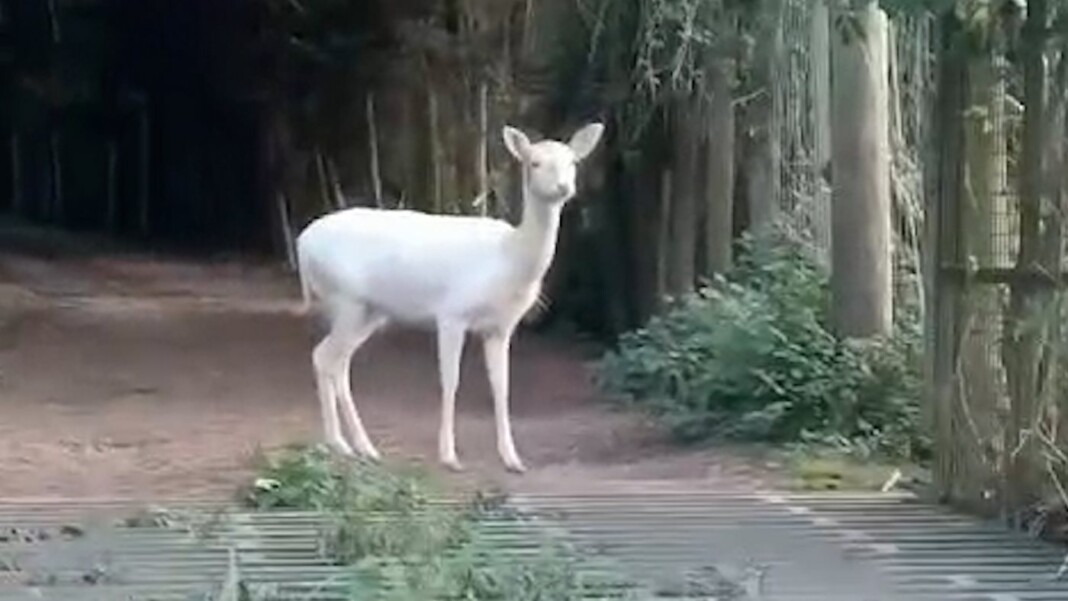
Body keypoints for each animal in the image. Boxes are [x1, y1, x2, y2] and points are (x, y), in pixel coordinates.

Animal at [294, 121, 604, 474]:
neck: (509, 260)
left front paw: (512, 458)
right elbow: (450, 380)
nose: (564, 187)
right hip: (345, 298)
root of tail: (301, 244)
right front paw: (450, 456)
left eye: (573, 162)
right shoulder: (452, 313)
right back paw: (346, 444)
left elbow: (502, 386)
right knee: (326, 357)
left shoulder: (501, 327)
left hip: (368, 311)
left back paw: (356, 446)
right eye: (534, 162)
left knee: (333, 360)